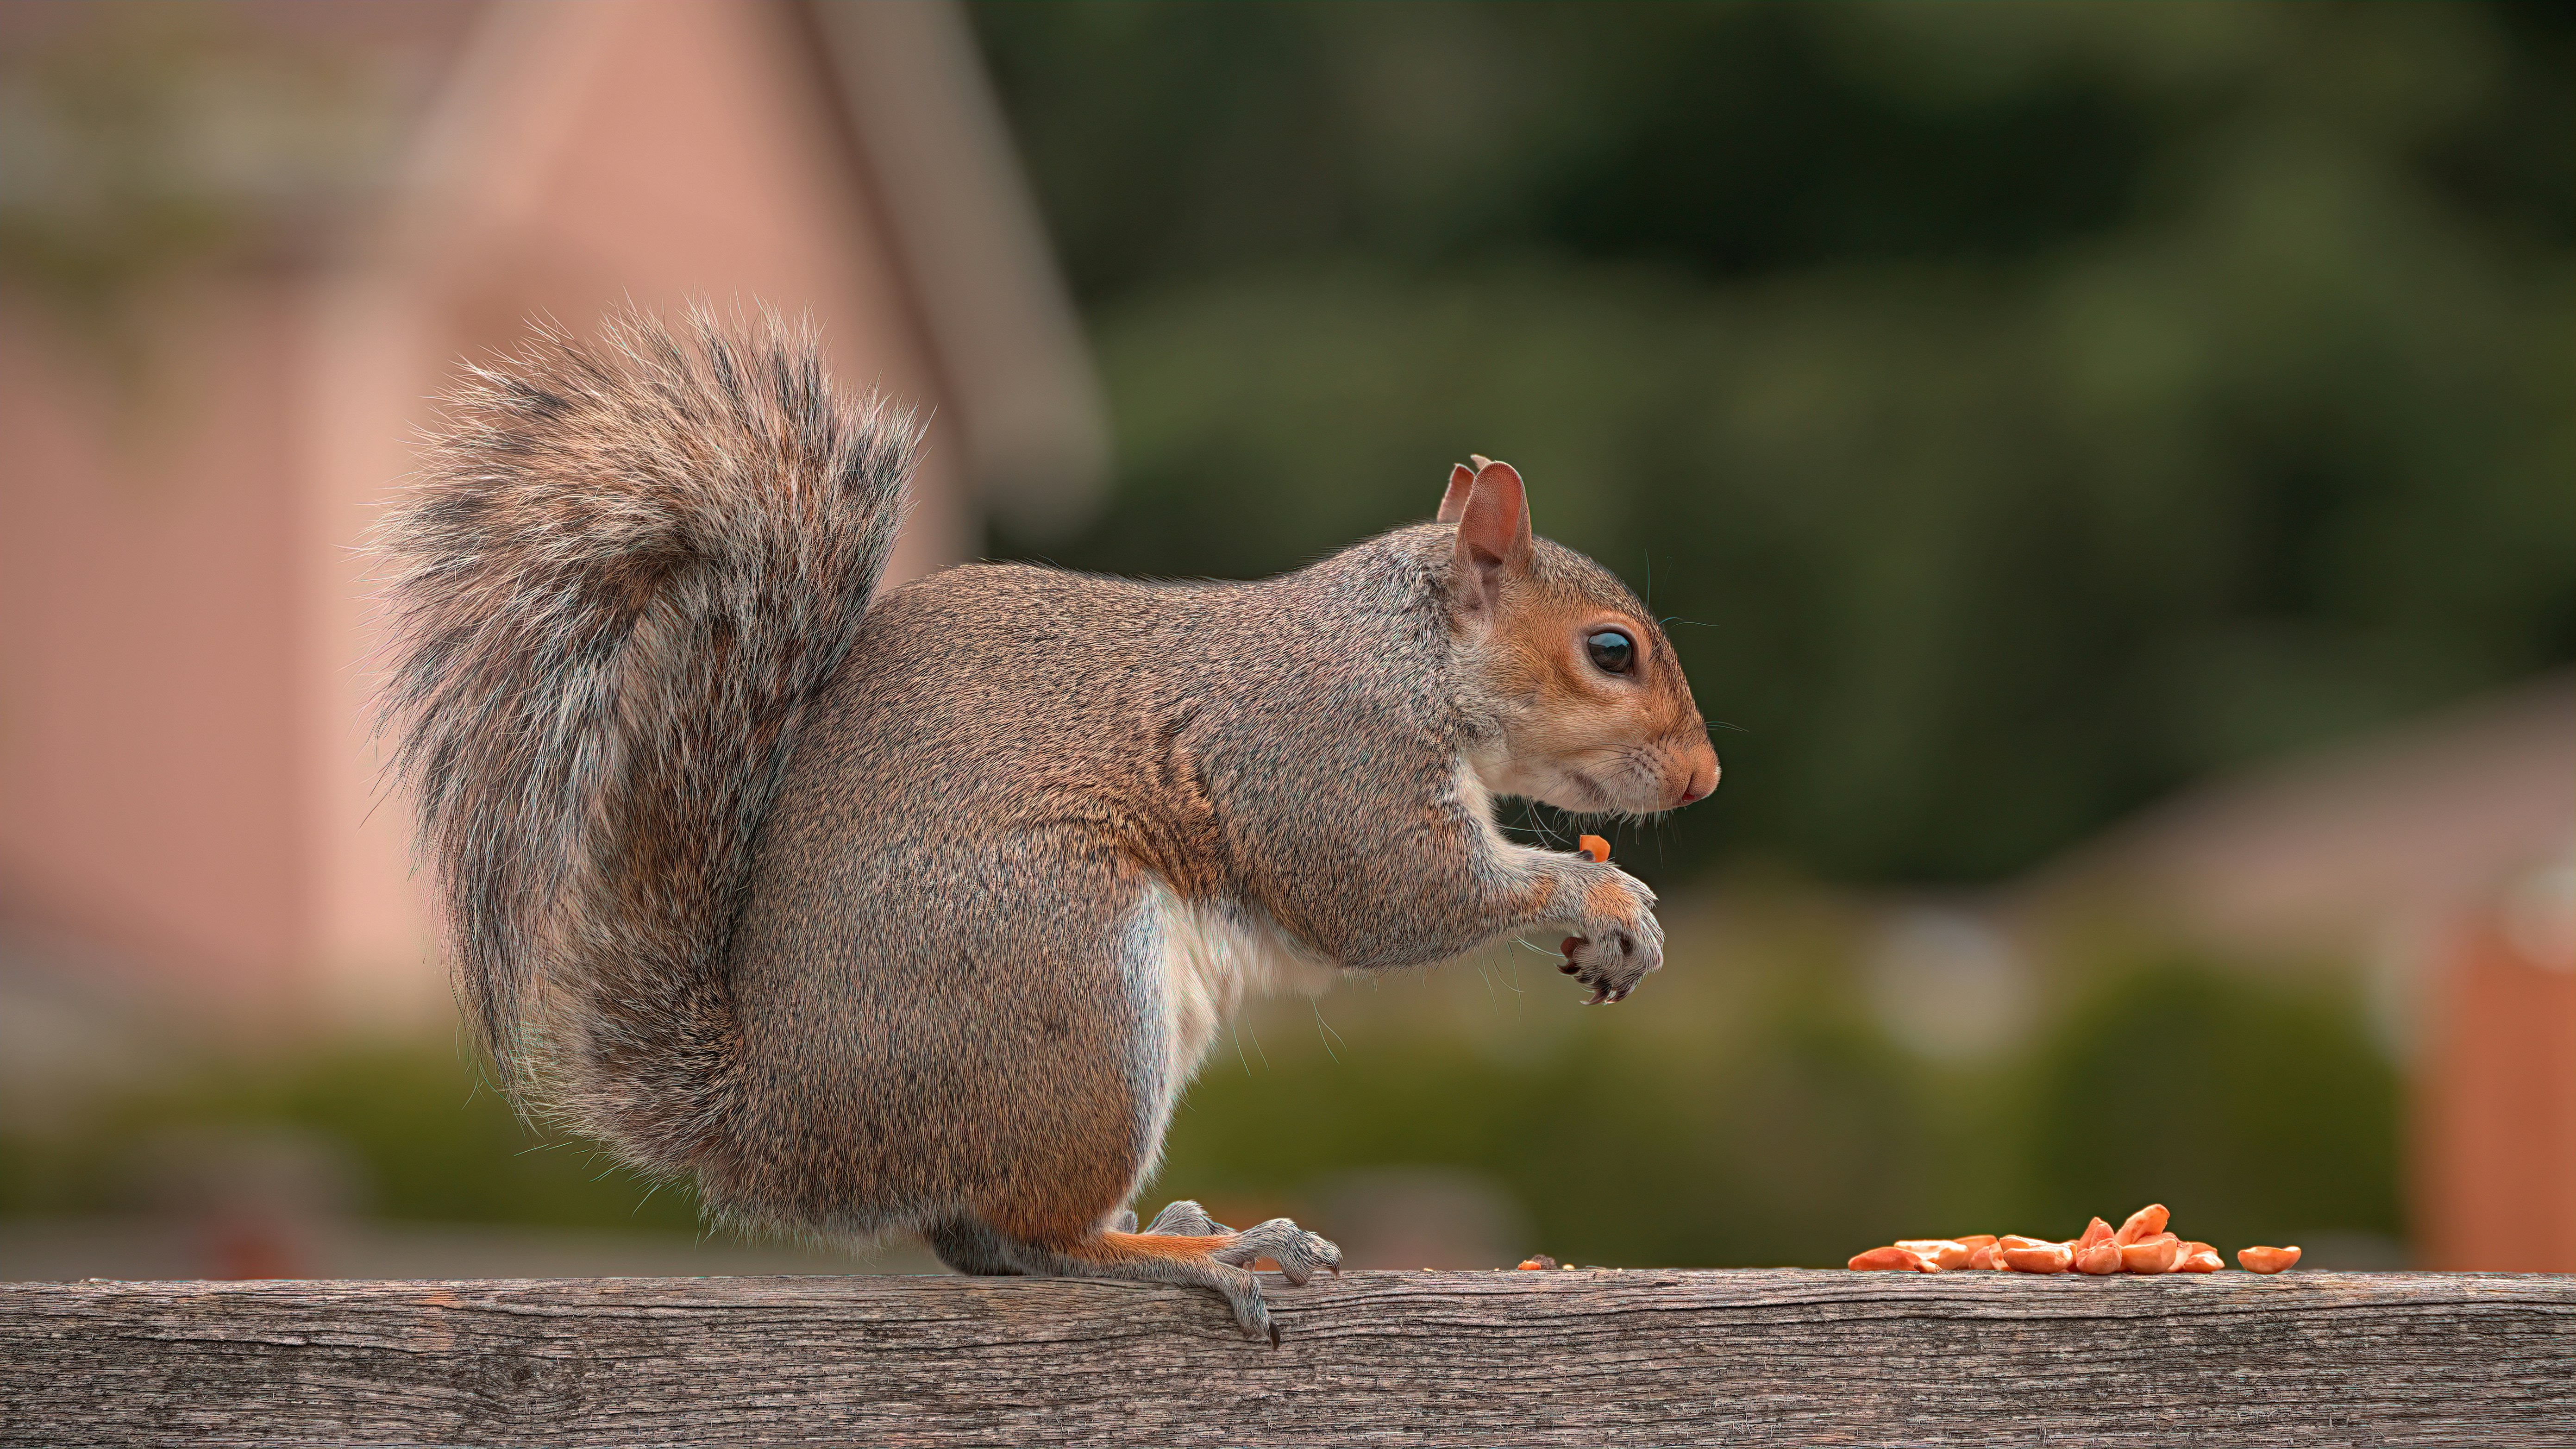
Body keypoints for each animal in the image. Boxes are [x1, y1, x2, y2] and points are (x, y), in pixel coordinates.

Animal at [376, 309, 1719, 1342]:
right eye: (1610, 651)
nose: (1704, 779)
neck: (1409, 654)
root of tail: (786, 1132)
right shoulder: (1327, 760)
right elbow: (1397, 899)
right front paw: (1600, 898)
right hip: (1063, 977)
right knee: (1032, 1236)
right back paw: (1199, 1256)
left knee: (985, 1237)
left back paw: (1175, 1224)